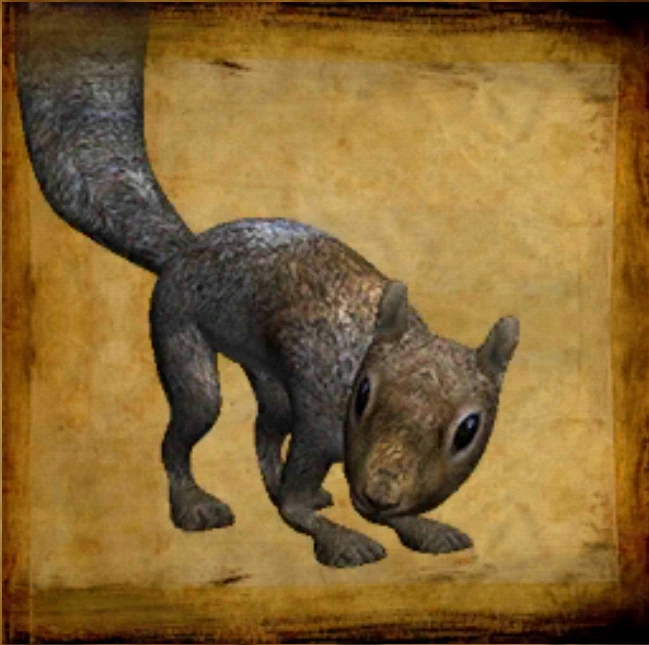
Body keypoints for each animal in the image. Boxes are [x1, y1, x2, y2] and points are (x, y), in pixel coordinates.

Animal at [16, 4, 519, 568]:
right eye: (363, 395)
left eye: (469, 430)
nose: (380, 493)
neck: (359, 355)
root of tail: (187, 251)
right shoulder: (319, 419)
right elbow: (296, 511)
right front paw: (342, 539)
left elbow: (368, 510)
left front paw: (422, 527)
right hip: (182, 335)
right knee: (185, 432)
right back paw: (195, 504)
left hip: (270, 377)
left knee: (264, 429)